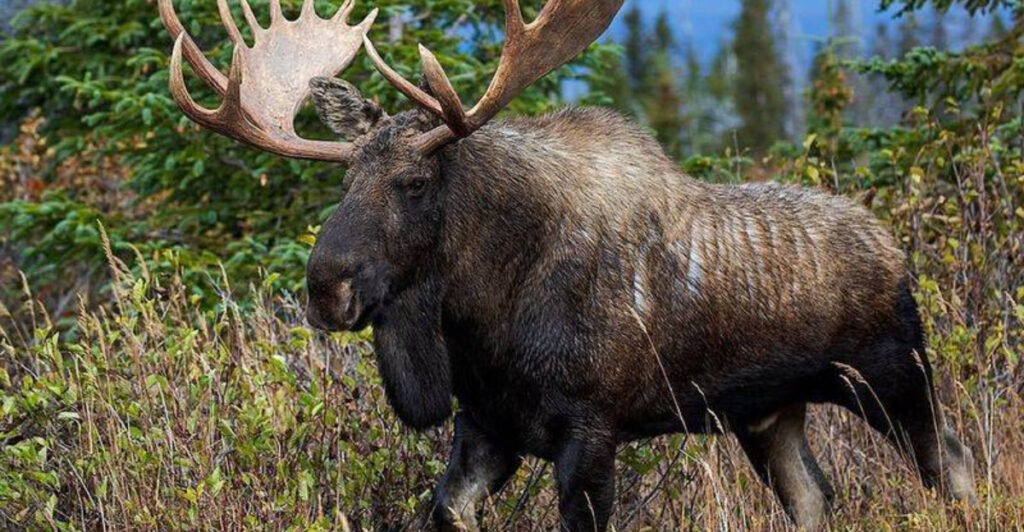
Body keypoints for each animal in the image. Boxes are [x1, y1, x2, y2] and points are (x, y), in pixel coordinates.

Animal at [157, 1, 976, 530]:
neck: (483, 314)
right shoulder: (487, 429)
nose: (327, 289)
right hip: (770, 414)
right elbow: (444, 512)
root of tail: (895, 249)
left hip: (892, 375)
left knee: (954, 466)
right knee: (815, 498)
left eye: (414, 183)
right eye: (345, 177)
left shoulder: (590, 428)